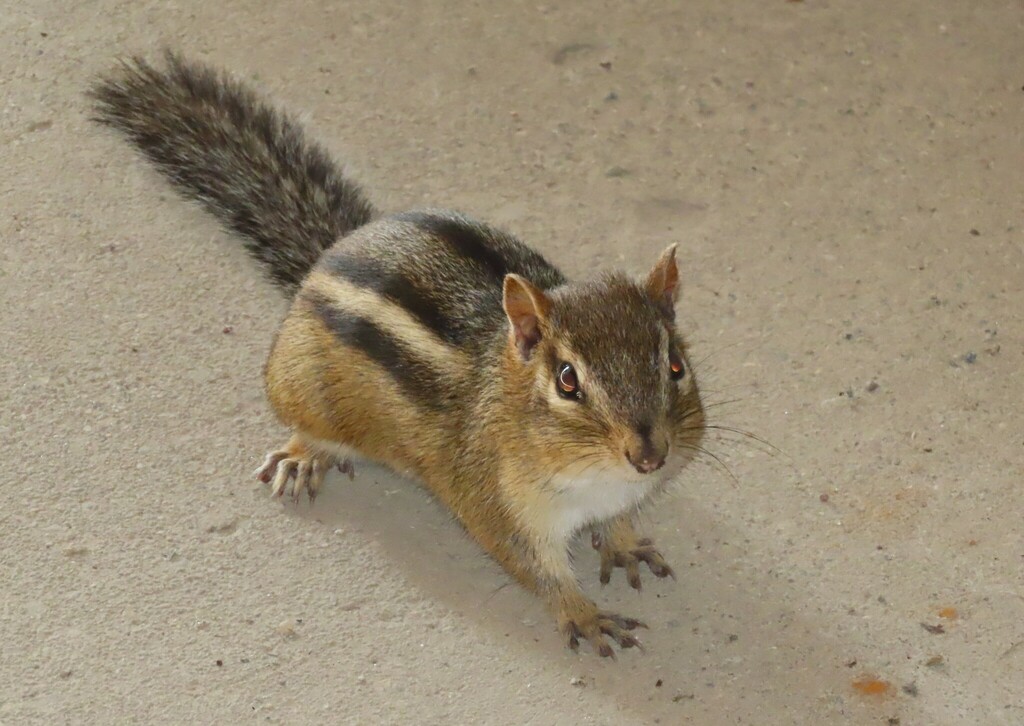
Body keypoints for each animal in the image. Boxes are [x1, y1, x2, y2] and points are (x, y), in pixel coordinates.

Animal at [90, 51, 707, 657]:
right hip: (300, 388)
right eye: (568, 381)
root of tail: (331, 250)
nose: (650, 456)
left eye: (675, 366)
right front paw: (584, 616)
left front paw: (623, 545)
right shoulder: (496, 503)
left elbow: (619, 523)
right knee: (306, 426)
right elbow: (539, 571)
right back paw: (304, 455)